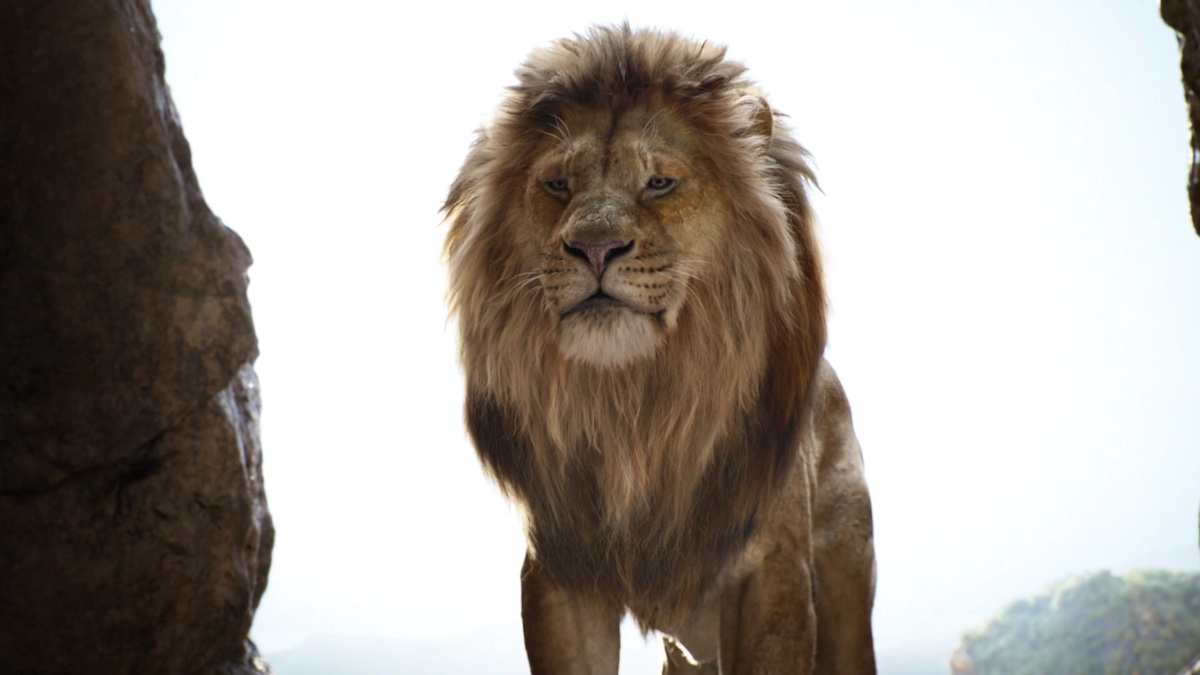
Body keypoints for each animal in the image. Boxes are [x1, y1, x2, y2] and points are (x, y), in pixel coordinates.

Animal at [444, 25, 876, 674]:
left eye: (659, 183)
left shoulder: (774, 574)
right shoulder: (559, 572)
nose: (595, 248)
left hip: (846, 587)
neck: (638, 407)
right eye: (557, 185)